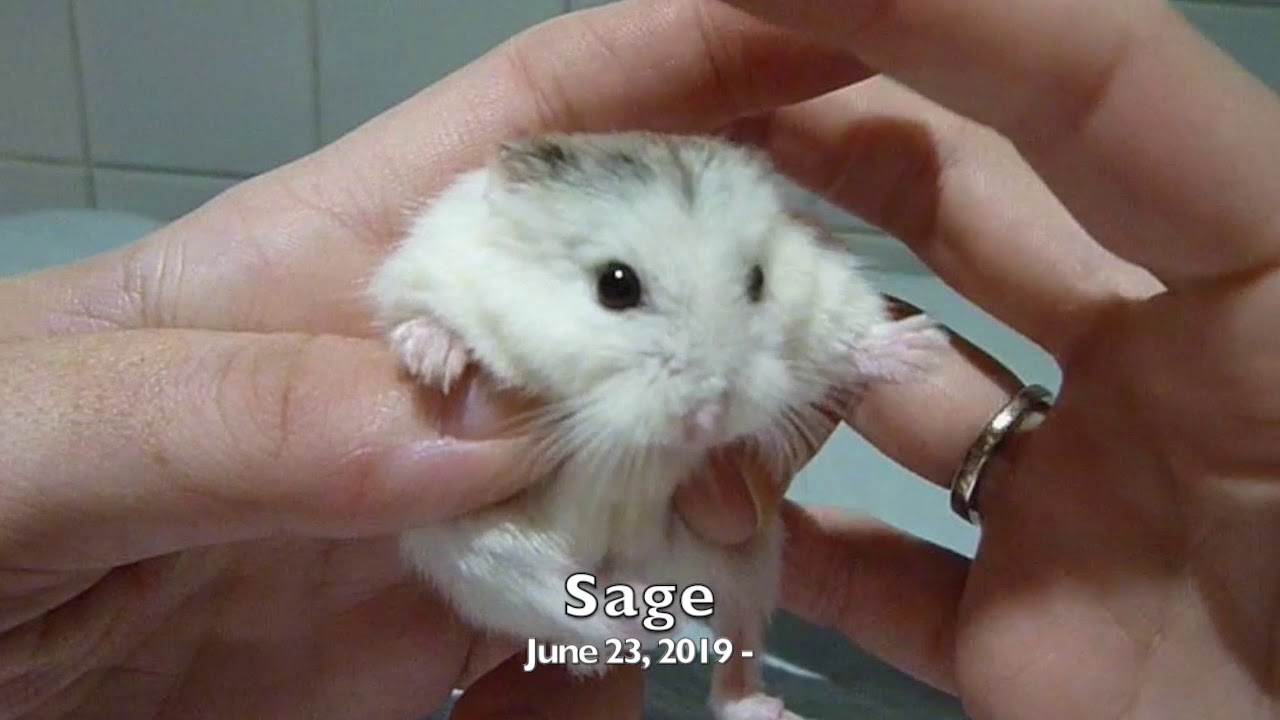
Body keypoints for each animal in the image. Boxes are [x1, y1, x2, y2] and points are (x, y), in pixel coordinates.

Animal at [368, 131, 946, 720]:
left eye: (758, 280)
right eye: (615, 285)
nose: (710, 418)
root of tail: (647, 574)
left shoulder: (830, 292)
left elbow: (848, 337)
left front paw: (924, 348)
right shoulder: (426, 272)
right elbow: (425, 318)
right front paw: (434, 366)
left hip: (747, 561)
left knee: (735, 644)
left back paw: (760, 705)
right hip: (479, 560)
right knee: (565, 614)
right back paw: (625, 634)